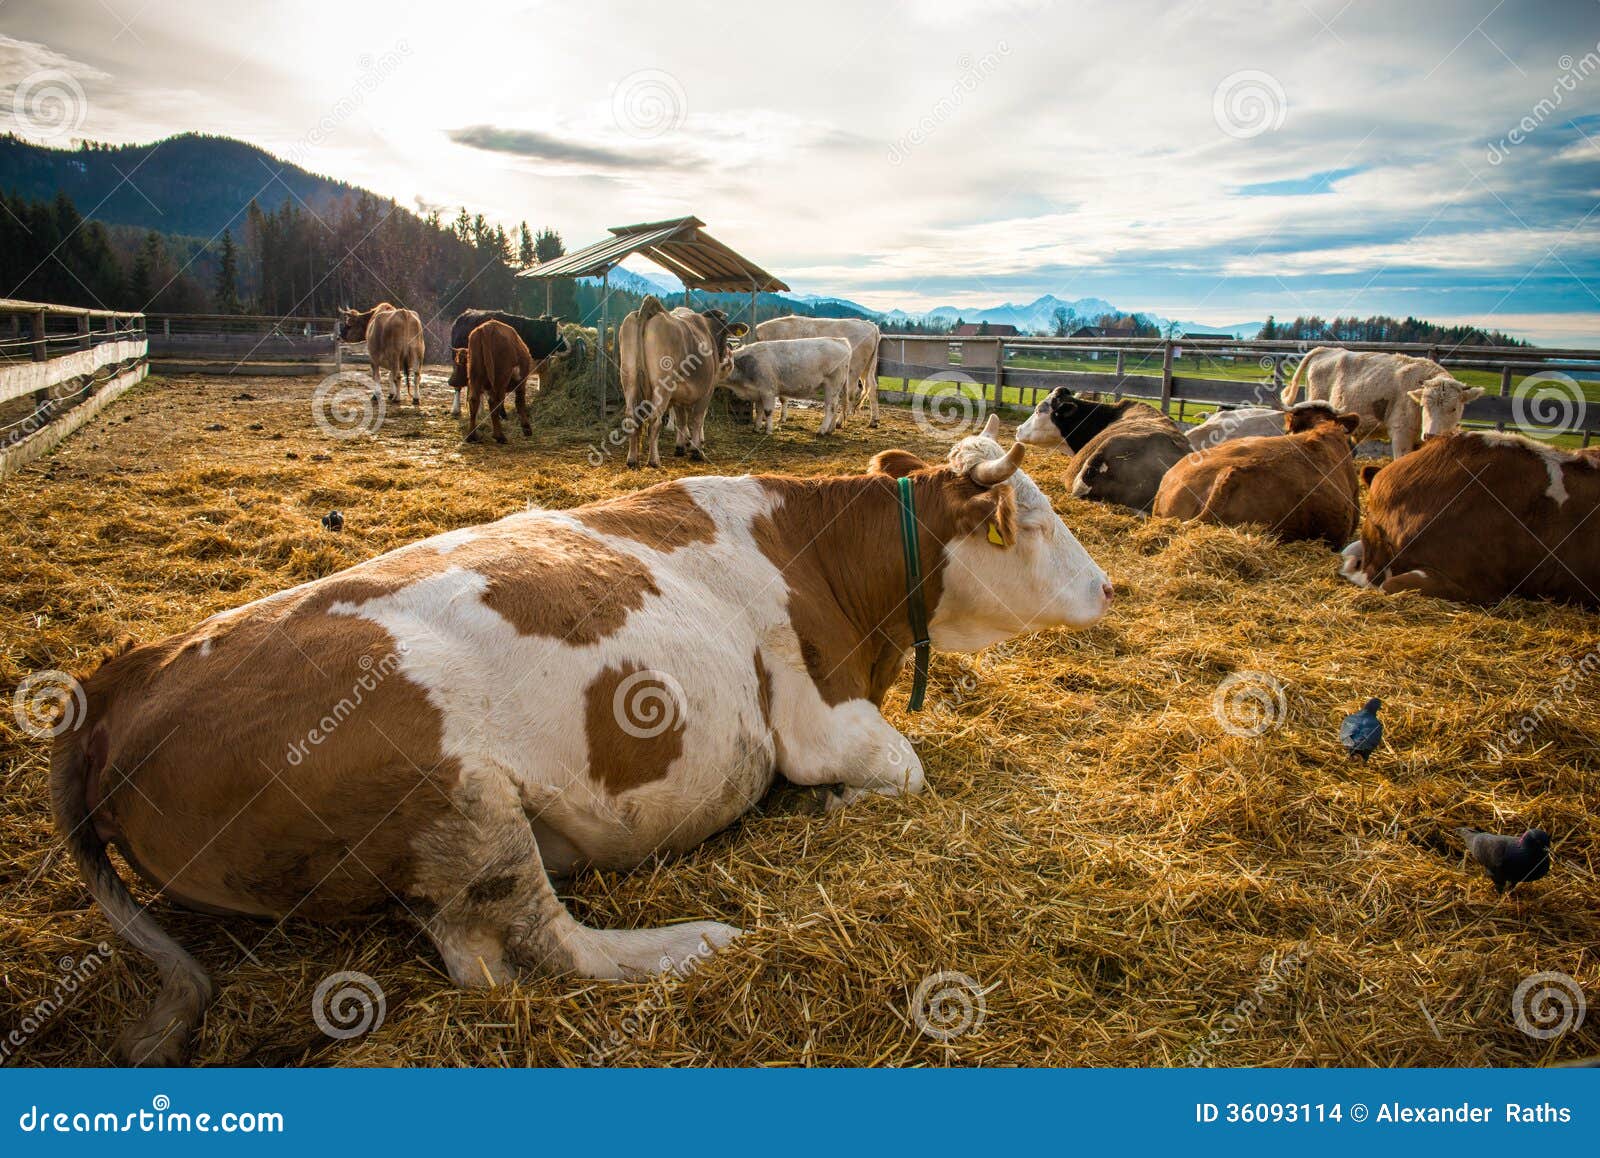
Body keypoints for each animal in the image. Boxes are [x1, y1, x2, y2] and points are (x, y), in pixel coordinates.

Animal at [49, 414, 1113, 1064]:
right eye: (1035, 519)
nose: (1109, 587)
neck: (822, 555)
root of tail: (116, 680)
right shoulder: (822, 721)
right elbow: (901, 767)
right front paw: (843, 801)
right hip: (462, 801)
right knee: (531, 952)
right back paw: (693, 944)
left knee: (474, 951)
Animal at [619, 296, 747, 468]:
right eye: (726, 335)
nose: (728, 355)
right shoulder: (707, 391)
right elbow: (697, 419)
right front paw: (696, 451)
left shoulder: (678, 394)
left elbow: (681, 420)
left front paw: (680, 447)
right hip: (662, 386)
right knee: (654, 420)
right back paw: (654, 461)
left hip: (629, 380)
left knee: (632, 418)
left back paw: (632, 460)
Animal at [721, 337, 854, 434]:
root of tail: (840, 340)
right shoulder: (758, 393)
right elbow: (759, 410)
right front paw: (756, 428)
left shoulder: (768, 391)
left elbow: (768, 411)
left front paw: (768, 430)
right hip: (836, 388)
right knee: (836, 405)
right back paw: (830, 429)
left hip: (832, 385)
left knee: (830, 407)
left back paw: (822, 430)